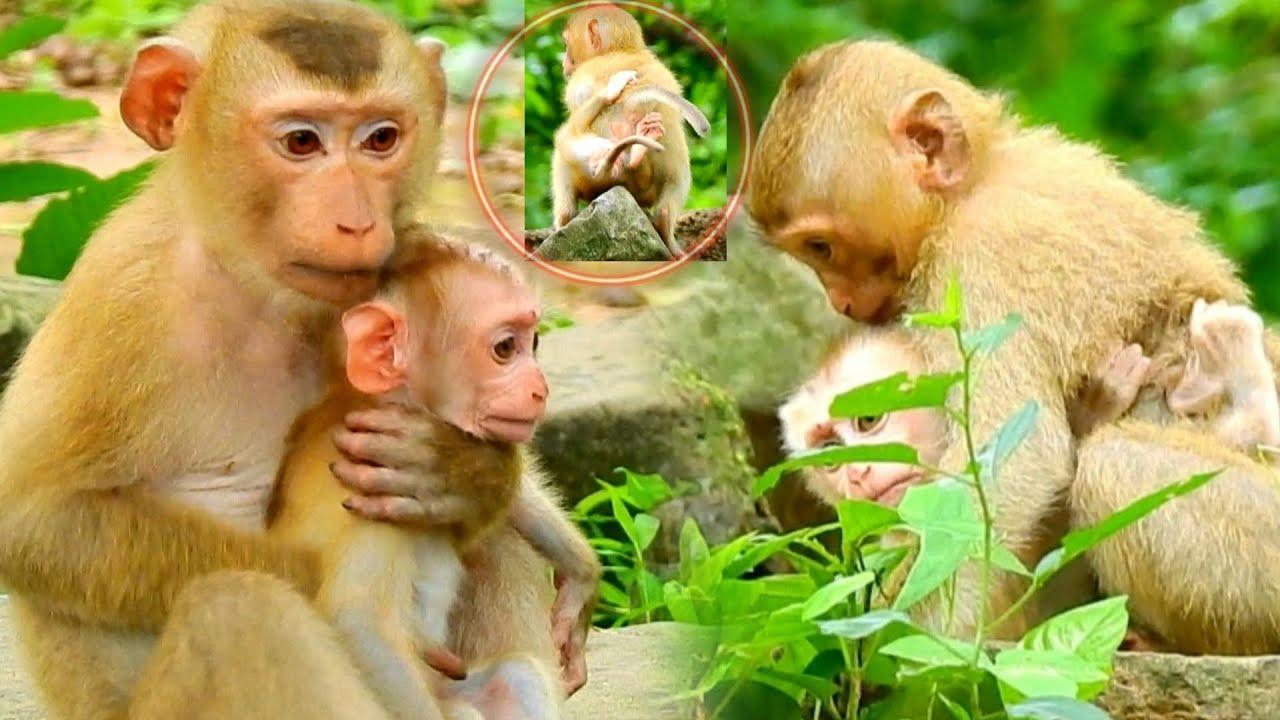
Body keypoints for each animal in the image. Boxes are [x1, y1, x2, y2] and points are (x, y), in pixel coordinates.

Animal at [269, 233, 600, 720]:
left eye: (534, 342)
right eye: (506, 348)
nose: (540, 389)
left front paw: (581, 573)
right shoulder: (362, 491)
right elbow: (359, 623)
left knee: (514, 677)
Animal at [551, 3, 711, 258]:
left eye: (566, 44)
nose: (564, 63)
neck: (624, 49)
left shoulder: (580, 81)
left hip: (589, 168)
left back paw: (564, 220)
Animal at [746, 38, 1280, 653]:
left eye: (820, 247)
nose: (841, 302)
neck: (978, 181)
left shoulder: (983, 255)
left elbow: (1013, 469)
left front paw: (904, 651)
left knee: (1112, 465)